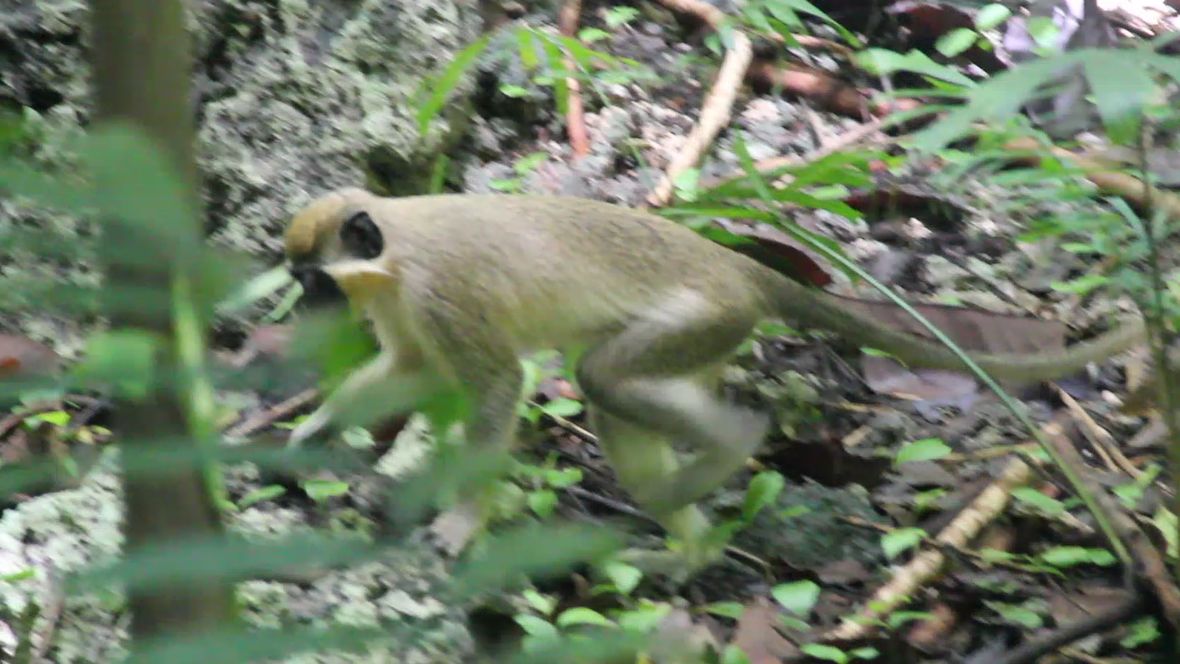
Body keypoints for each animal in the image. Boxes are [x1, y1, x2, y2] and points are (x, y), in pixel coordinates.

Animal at [282, 187, 1145, 573]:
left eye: (314, 283)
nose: (300, 308)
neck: (400, 247)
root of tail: (736, 266)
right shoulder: (401, 307)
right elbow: (411, 367)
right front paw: (311, 432)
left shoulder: (441, 294)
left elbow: (497, 386)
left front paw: (461, 523)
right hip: (710, 337)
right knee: (613, 393)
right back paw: (691, 550)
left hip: (708, 316)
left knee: (602, 376)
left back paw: (732, 449)